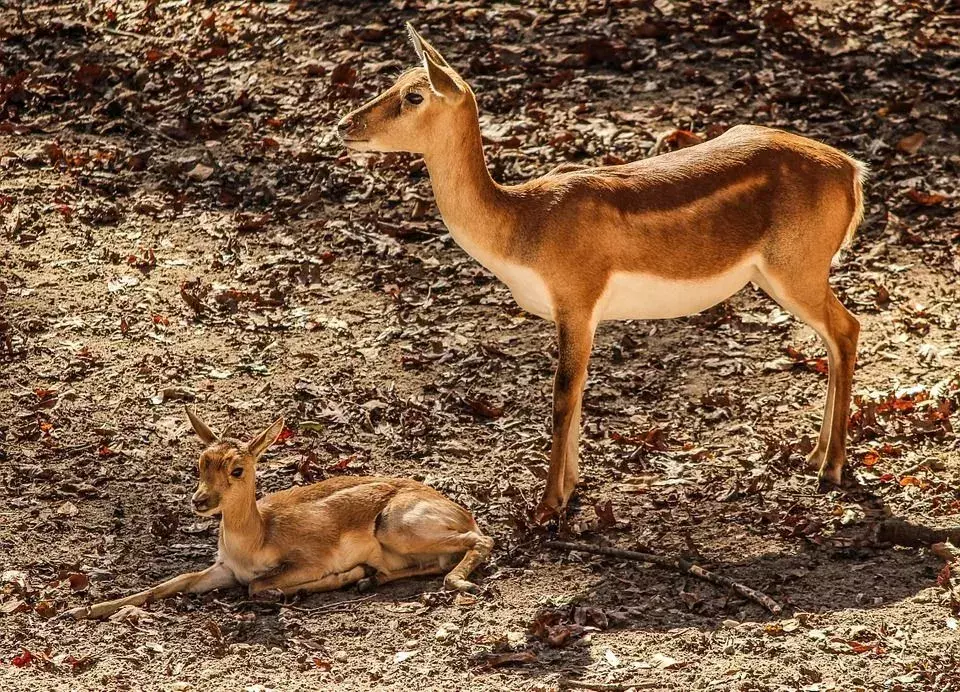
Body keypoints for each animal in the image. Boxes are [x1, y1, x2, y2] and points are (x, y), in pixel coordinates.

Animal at [65, 408, 496, 620]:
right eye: (202, 461)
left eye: (238, 469)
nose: (200, 501)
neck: (257, 538)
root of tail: (462, 511)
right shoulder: (224, 569)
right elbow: (169, 583)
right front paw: (79, 609)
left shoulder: (306, 561)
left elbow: (258, 586)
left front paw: (331, 579)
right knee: (435, 562)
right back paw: (369, 579)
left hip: (398, 526)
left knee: (481, 540)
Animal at [340, 24, 872, 520]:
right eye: (394, 81)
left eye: (414, 95)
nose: (345, 123)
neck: (524, 225)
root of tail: (852, 170)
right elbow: (577, 393)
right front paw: (570, 491)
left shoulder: (576, 299)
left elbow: (562, 394)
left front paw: (547, 506)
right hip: (777, 276)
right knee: (834, 337)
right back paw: (814, 456)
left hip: (796, 270)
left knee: (848, 328)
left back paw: (831, 468)